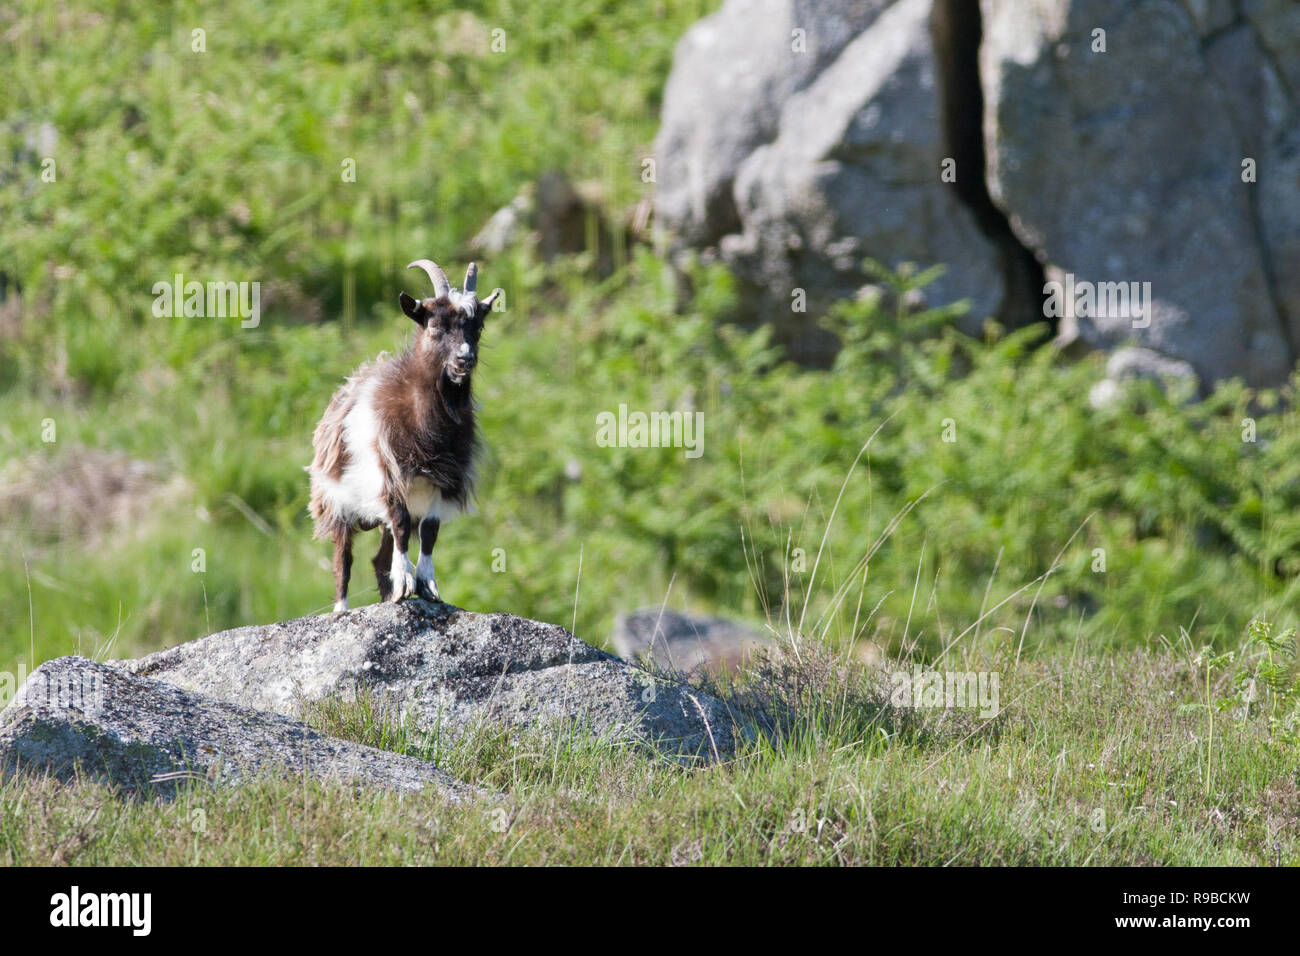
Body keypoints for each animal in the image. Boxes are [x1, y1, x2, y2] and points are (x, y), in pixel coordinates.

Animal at [307, 259, 501, 612]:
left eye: (478, 327)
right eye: (434, 326)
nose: (464, 360)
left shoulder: (443, 480)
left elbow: (429, 531)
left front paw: (425, 584)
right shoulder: (387, 473)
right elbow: (399, 521)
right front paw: (407, 582)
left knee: (379, 557)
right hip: (335, 500)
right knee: (343, 558)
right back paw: (341, 609)